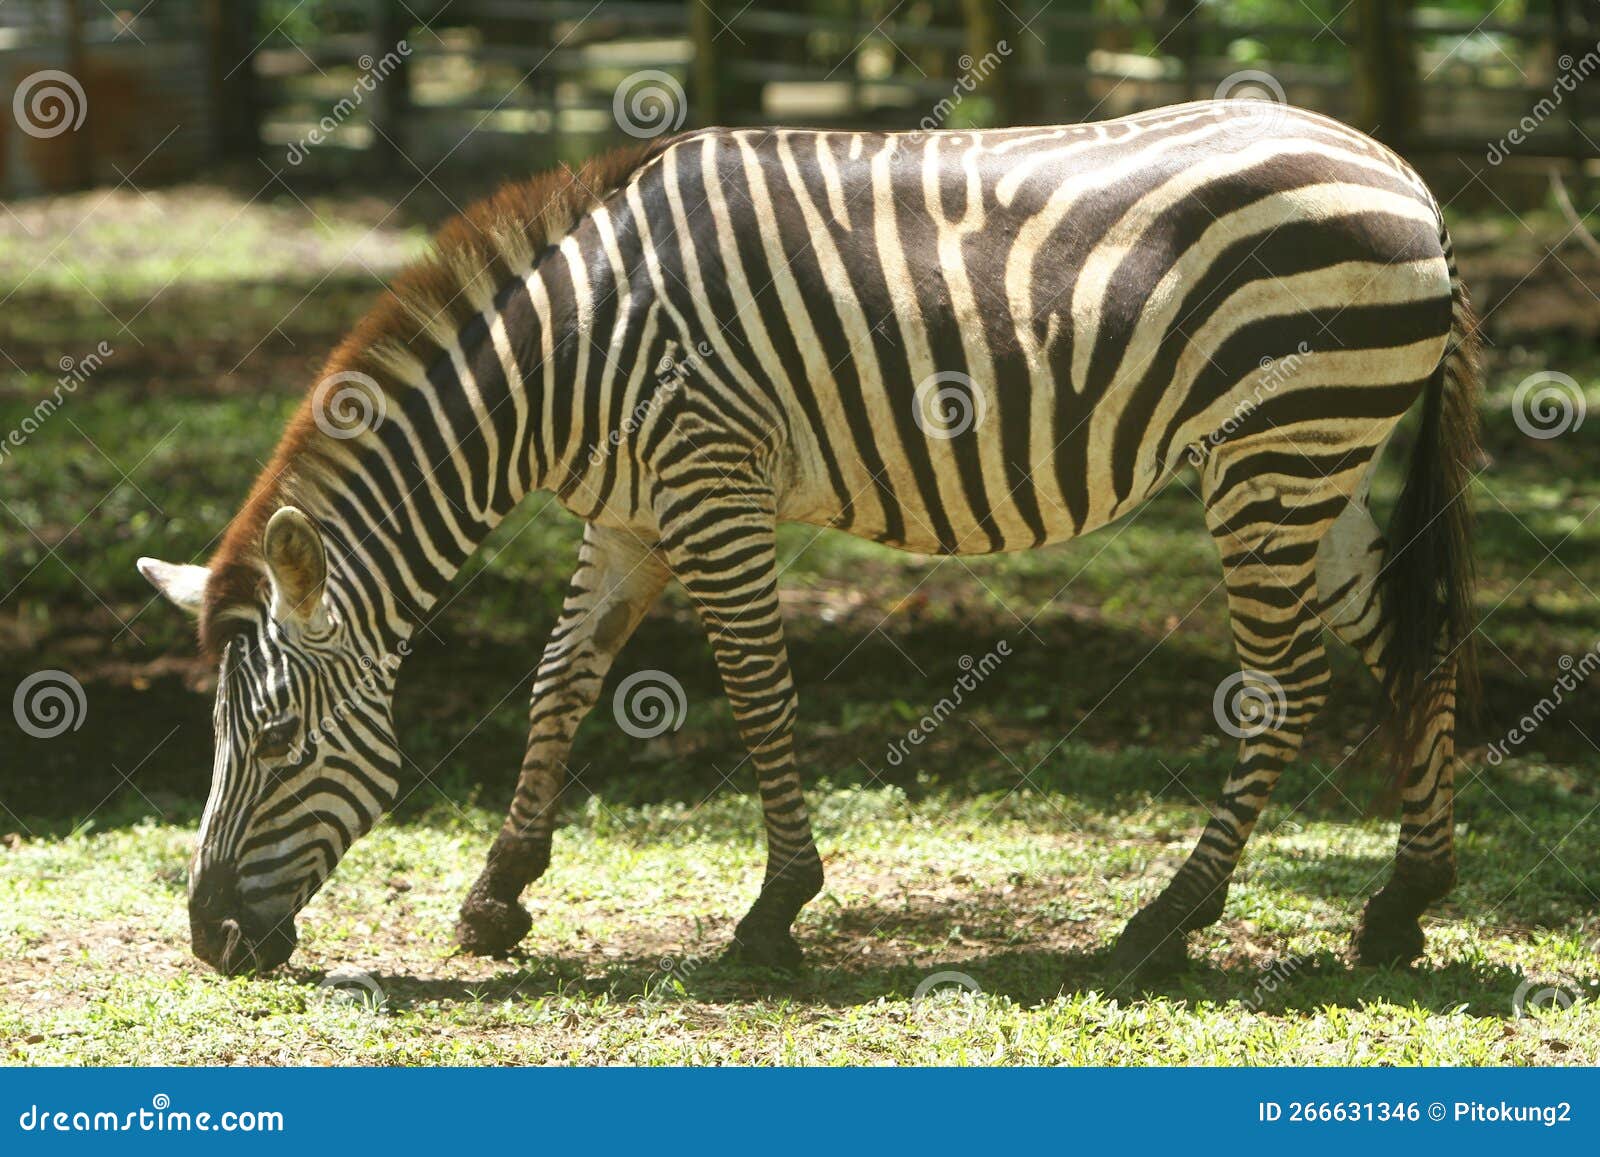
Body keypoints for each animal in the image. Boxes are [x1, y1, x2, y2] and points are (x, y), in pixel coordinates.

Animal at [138, 100, 1478, 979]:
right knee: (1411, 649)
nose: (210, 942)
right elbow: (560, 678)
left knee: (1287, 681)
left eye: (275, 737)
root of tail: (1405, 176)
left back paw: (1163, 920)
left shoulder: (710, 484)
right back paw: (1400, 906)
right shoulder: (628, 517)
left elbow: (755, 690)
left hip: (1278, 450)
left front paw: (775, 910)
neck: (563, 363)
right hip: (1321, 459)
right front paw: (496, 893)